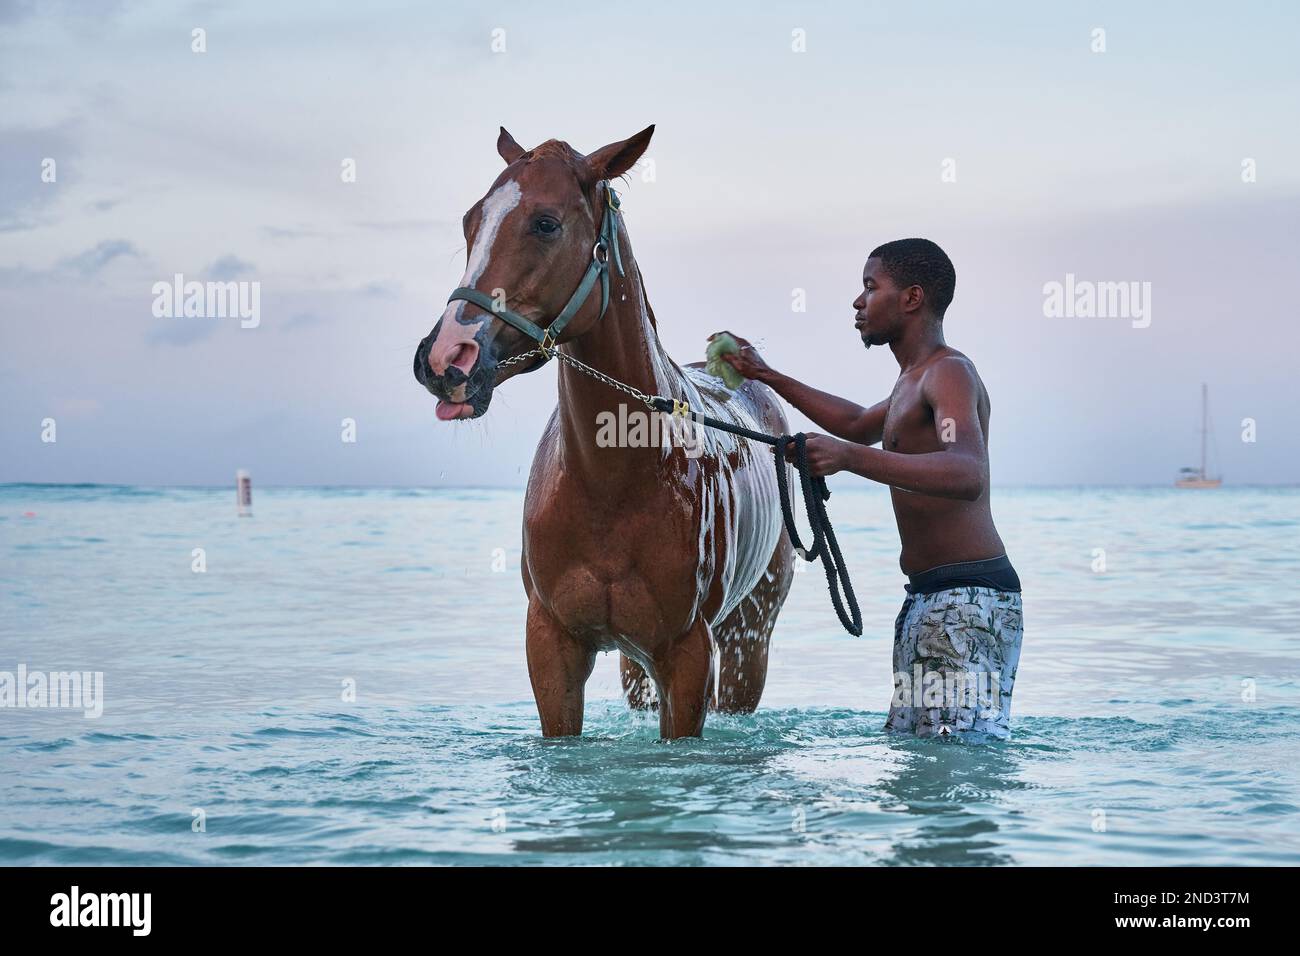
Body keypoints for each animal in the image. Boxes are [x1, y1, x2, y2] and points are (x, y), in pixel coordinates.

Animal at [413, 125, 794, 739]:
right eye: (472, 220)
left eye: (546, 223)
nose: (445, 358)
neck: (612, 481)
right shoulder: (552, 646)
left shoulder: (689, 655)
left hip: (746, 642)